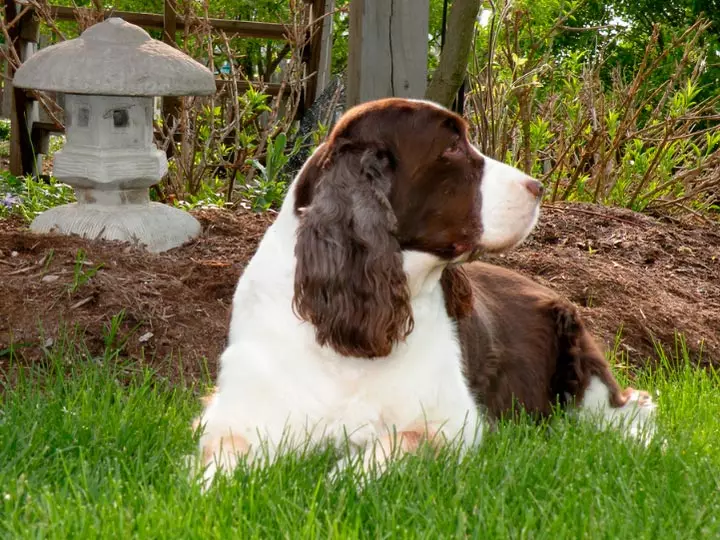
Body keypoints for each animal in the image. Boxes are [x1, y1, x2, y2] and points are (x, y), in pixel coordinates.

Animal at [193, 98, 660, 486]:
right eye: (452, 147)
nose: (538, 186)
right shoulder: (240, 412)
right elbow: (223, 459)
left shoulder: (453, 420)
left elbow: (396, 444)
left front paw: (339, 479)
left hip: (581, 369)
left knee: (628, 409)